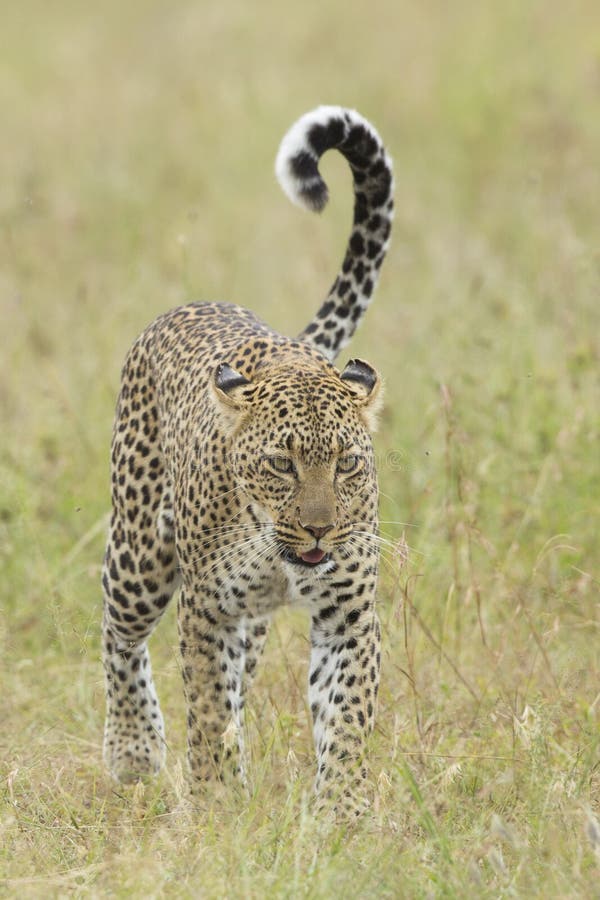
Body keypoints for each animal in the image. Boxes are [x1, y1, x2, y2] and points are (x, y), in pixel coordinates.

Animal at [101, 105, 394, 816]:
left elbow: (347, 714)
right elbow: (205, 707)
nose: (319, 530)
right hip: (140, 554)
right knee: (119, 636)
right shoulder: (207, 610)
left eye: (347, 464)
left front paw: (341, 812)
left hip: (248, 623)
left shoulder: (349, 617)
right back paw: (132, 751)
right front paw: (213, 801)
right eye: (281, 464)